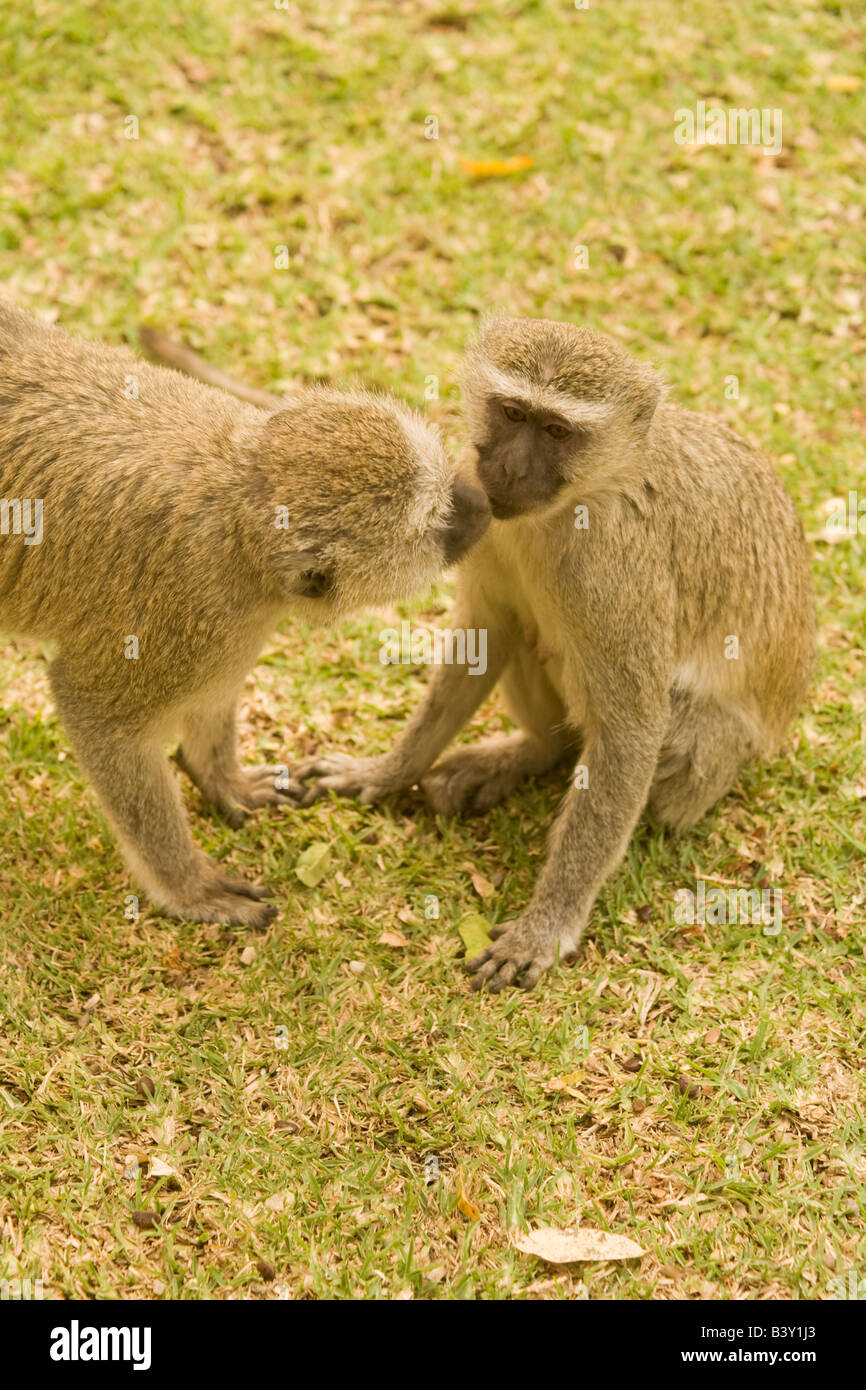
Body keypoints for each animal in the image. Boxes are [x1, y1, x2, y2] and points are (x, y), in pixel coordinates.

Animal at [0, 301, 490, 926]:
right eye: (443, 518)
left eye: (450, 482)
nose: (483, 502)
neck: (233, 507)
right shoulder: (192, 601)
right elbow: (93, 713)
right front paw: (186, 887)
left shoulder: (228, 616)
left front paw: (217, 775)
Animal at [295, 316, 815, 992]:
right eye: (513, 413)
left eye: (557, 432)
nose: (512, 469)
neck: (575, 503)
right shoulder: (475, 499)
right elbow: (485, 634)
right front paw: (383, 772)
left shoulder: (615, 568)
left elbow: (633, 727)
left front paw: (548, 925)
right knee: (529, 640)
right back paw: (524, 755)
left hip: (724, 756)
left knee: (672, 743)